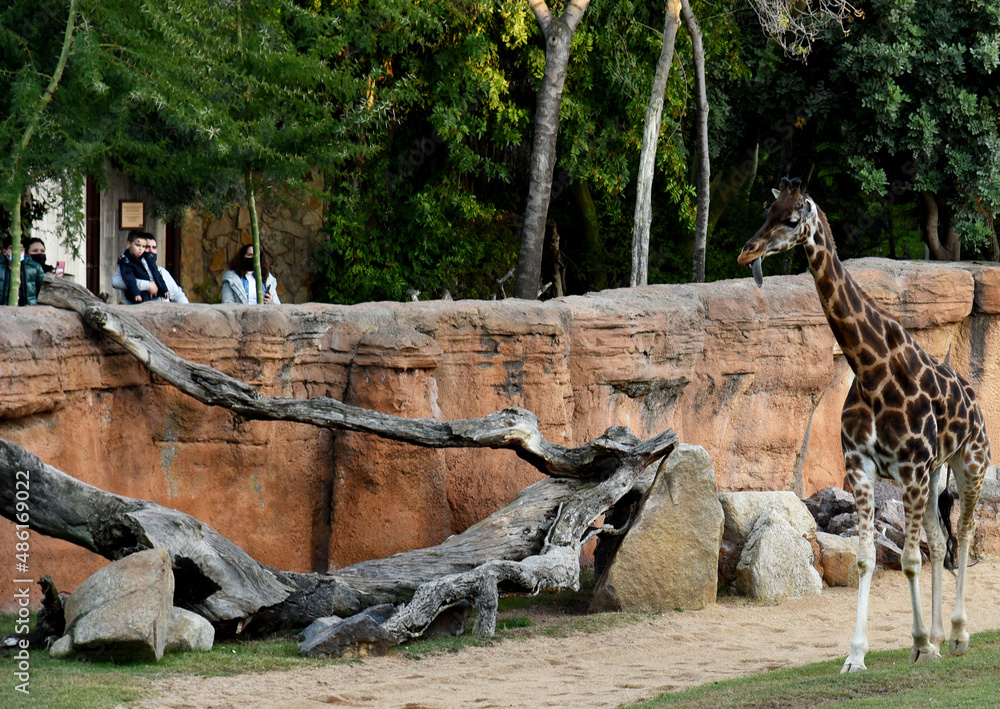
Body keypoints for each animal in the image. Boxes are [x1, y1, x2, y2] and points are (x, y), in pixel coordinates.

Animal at [738, 177, 990, 673]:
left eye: (791, 219)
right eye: (765, 211)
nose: (746, 252)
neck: (872, 370)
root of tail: (976, 403)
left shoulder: (909, 469)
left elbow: (908, 559)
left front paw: (920, 643)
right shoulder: (861, 466)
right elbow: (867, 558)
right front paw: (859, 654)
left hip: (969, 462)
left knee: (965, 533)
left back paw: (956, 635)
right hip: (936, 473)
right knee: (939, 538)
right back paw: (937, 635)